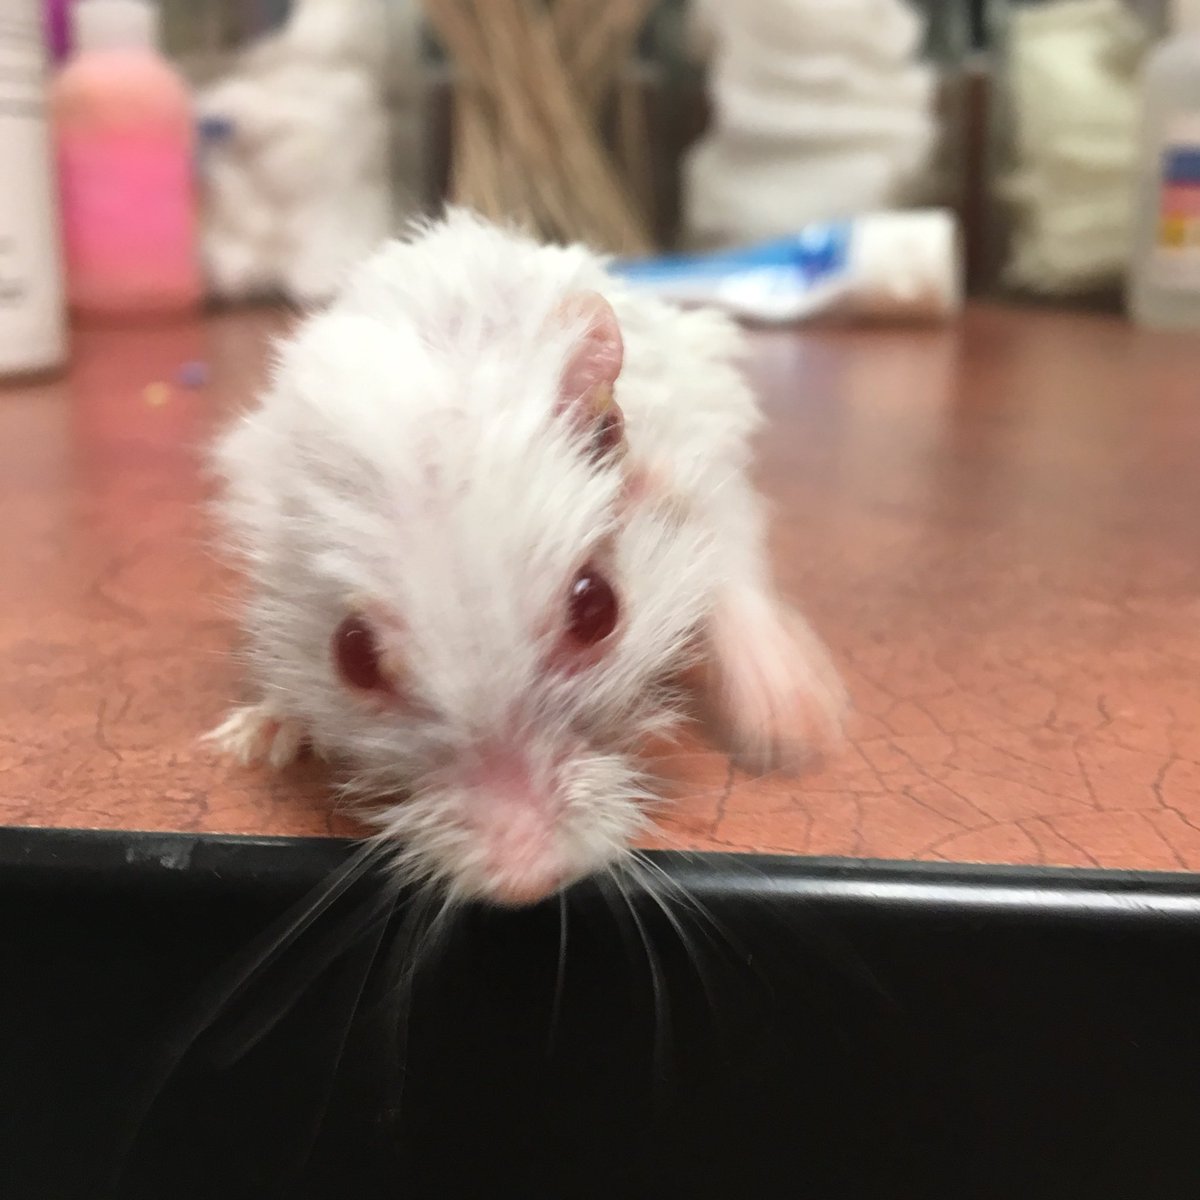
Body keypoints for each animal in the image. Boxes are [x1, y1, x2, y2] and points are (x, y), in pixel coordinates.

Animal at [207, 209, 844, 906]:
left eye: (598, 610)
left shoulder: (702, 471)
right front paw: (249, 741)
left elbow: (733, 574)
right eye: (353, 657)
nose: (526, 884)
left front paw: (797, 730)